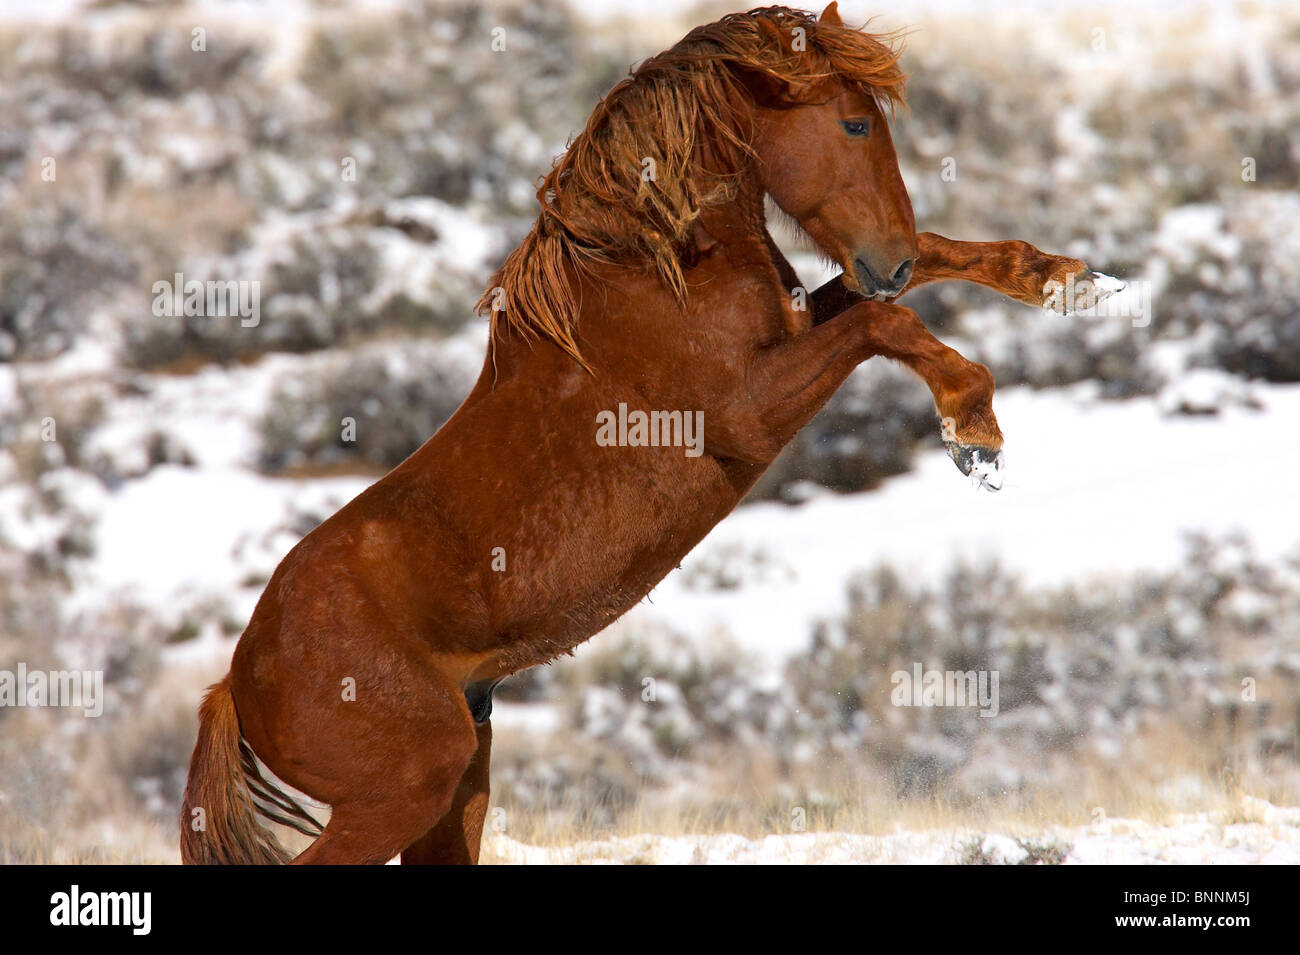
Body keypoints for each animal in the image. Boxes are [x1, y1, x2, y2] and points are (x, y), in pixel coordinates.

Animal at [181, 3, 1112, 864]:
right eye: (854, 122)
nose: (890, 256)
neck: (651, 270)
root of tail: (238, 678)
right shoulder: (750, 408)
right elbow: (886, 323)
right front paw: (974, 426)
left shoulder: (800, 329)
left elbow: (910, 283)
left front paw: (1063, 281)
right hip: (406, 788)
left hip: (459, 782)